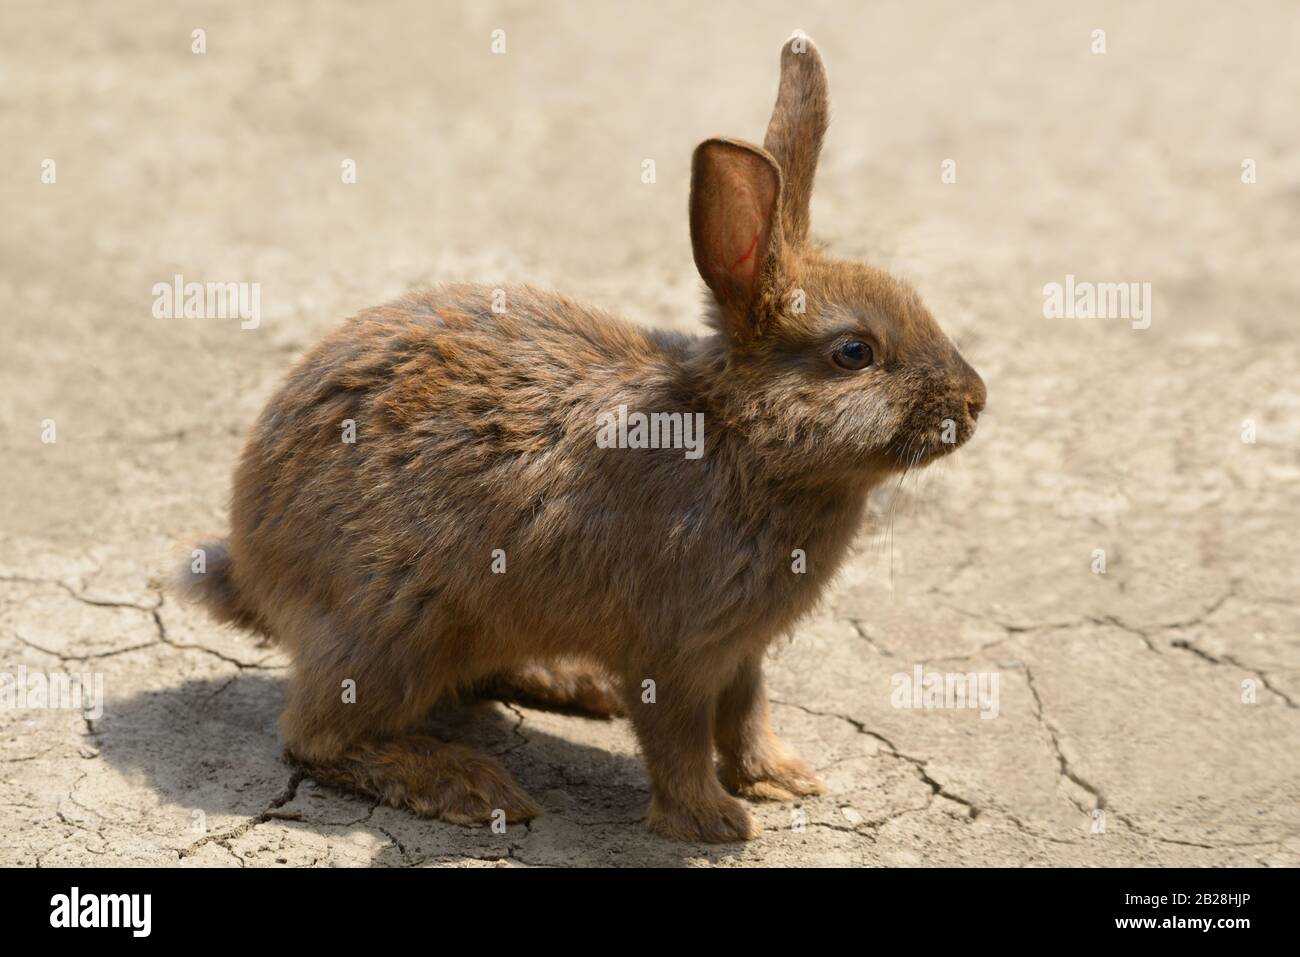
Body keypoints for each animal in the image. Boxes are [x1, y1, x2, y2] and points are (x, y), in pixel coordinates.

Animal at [180, 34, 985, 843]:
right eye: (854, 352)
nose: (975, 401)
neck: (742, 443)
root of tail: (252, 565)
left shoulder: (741, 650)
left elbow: (747, 713)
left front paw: (784, 779)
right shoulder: (675, 648)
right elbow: (679, 737)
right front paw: (713, 822)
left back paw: (575, 686)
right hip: (395, 625)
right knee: (317, 736)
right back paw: (472, 785)